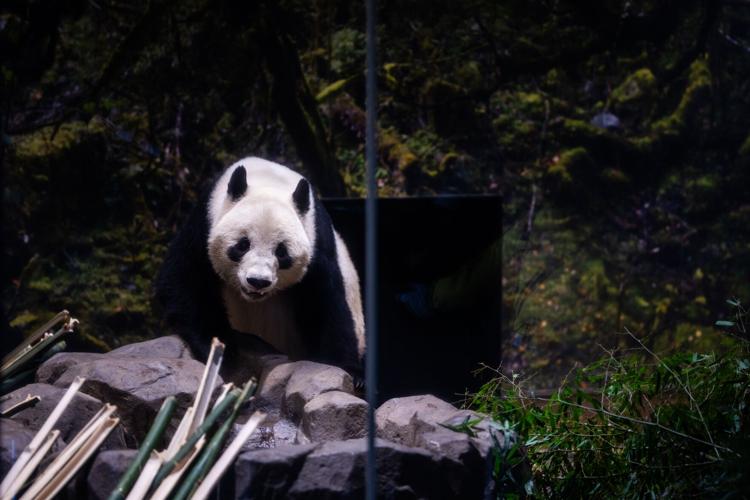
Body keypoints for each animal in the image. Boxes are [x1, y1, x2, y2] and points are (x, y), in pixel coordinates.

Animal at [155, 157, 365, 376]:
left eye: (281, 252)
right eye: (243, 245)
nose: (258, 281)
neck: (270, 182)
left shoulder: (317, 239)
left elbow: (325, 304)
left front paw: (347, 369)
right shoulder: (205, 220)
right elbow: (186, 278)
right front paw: (221, 353)